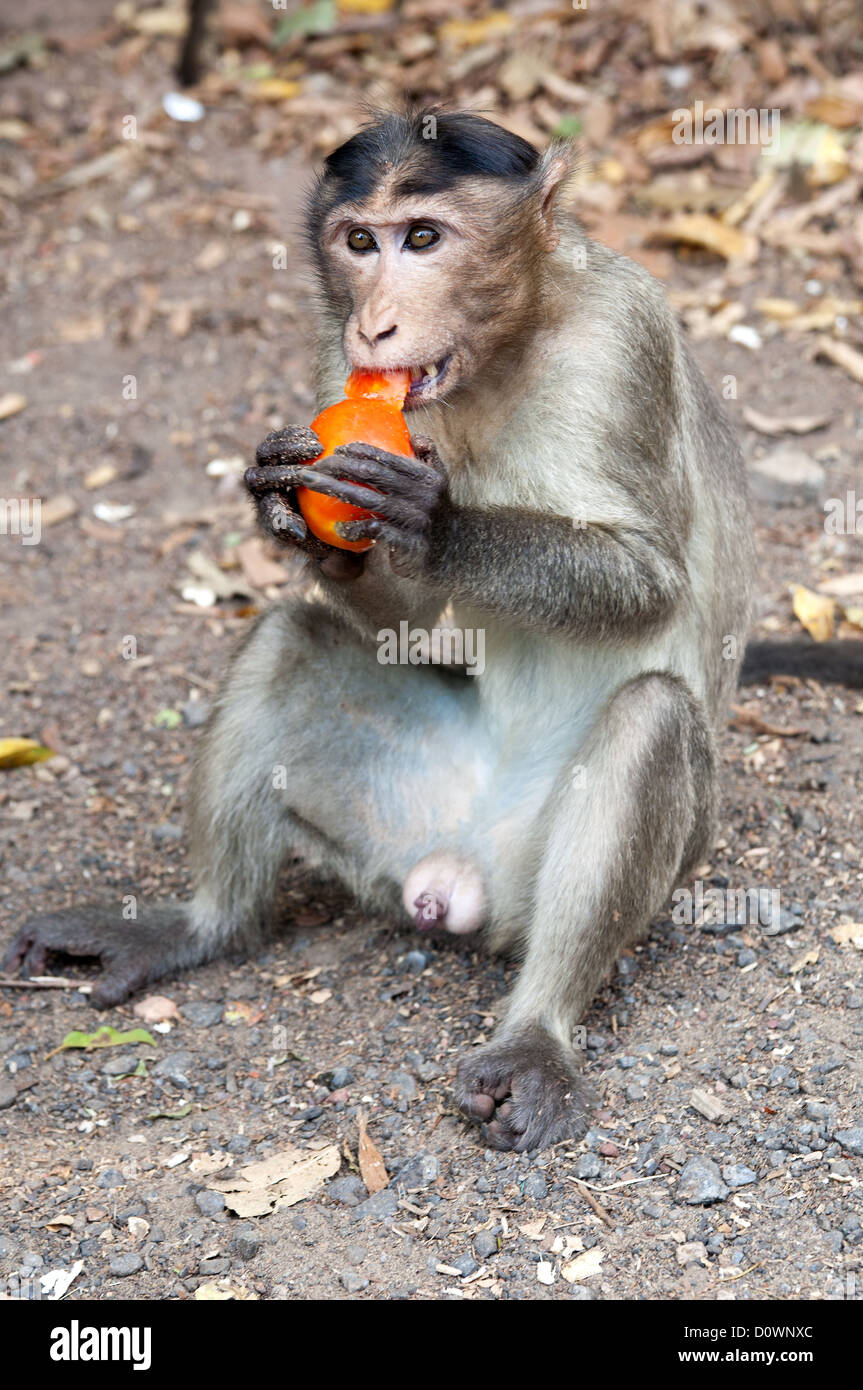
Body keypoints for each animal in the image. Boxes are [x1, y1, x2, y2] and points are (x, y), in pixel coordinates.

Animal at [2, 109, 755, 1153]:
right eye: (359, 242)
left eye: (424, 238)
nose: (375, 325)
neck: (503, 350)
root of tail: (461, 874)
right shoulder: (335, 364)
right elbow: (396, 609)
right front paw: (287, 512)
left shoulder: (623, 338)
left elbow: (648, 580)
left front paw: (438, 528)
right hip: (398, 820)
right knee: (285, 642)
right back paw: (196, 927)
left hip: (596, 863)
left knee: (651, 718)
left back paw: (537, 1032)